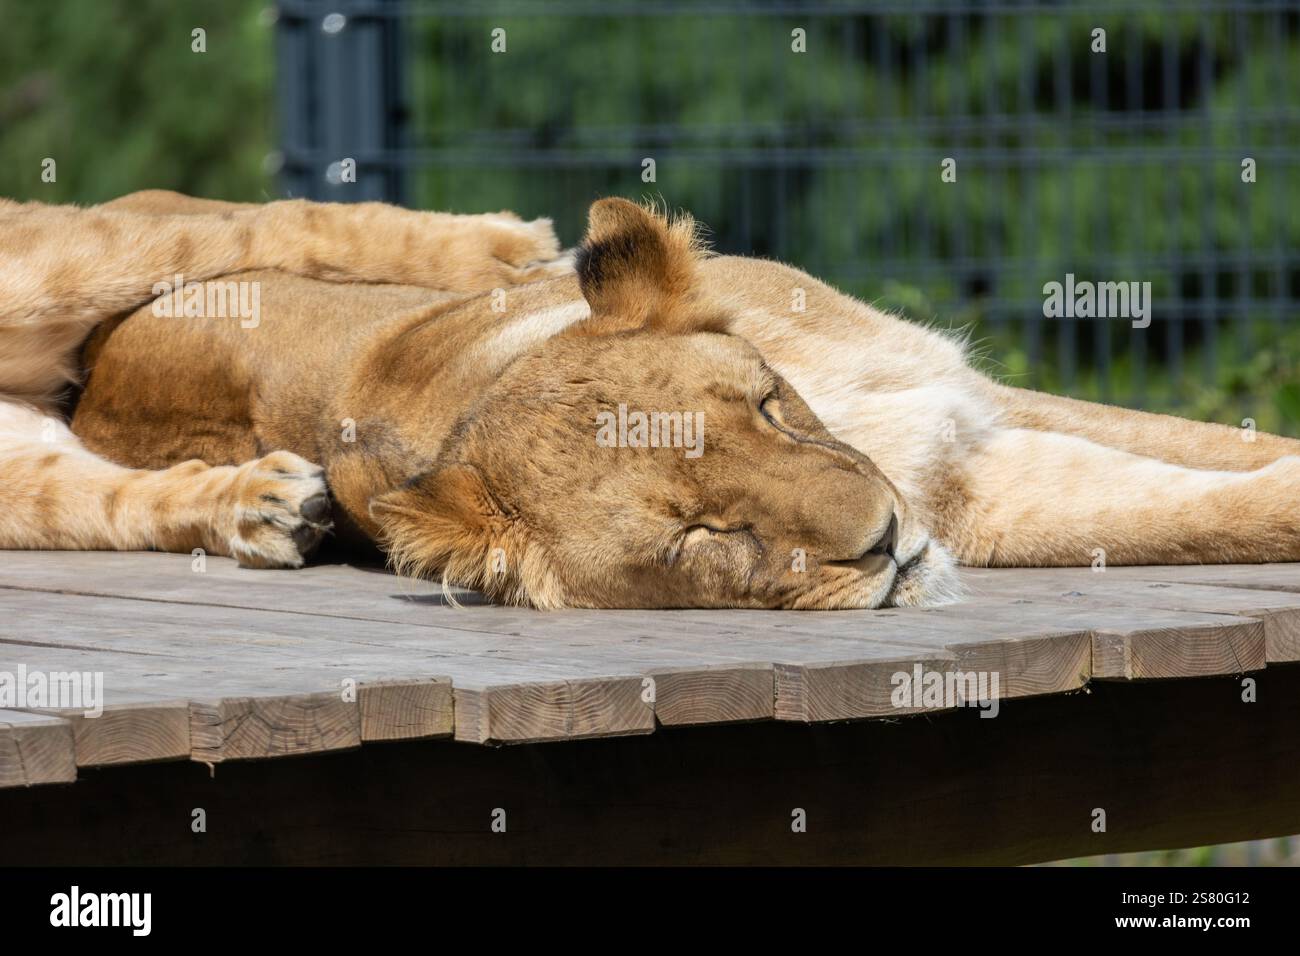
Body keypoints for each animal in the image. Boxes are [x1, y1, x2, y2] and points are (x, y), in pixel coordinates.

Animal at [3, 190, 1300, 610]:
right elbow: (1196, 513)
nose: (887, 542)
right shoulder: (971, 483)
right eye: (703, 538)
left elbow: (1213, 465)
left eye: (768, 407)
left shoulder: (963, 409)